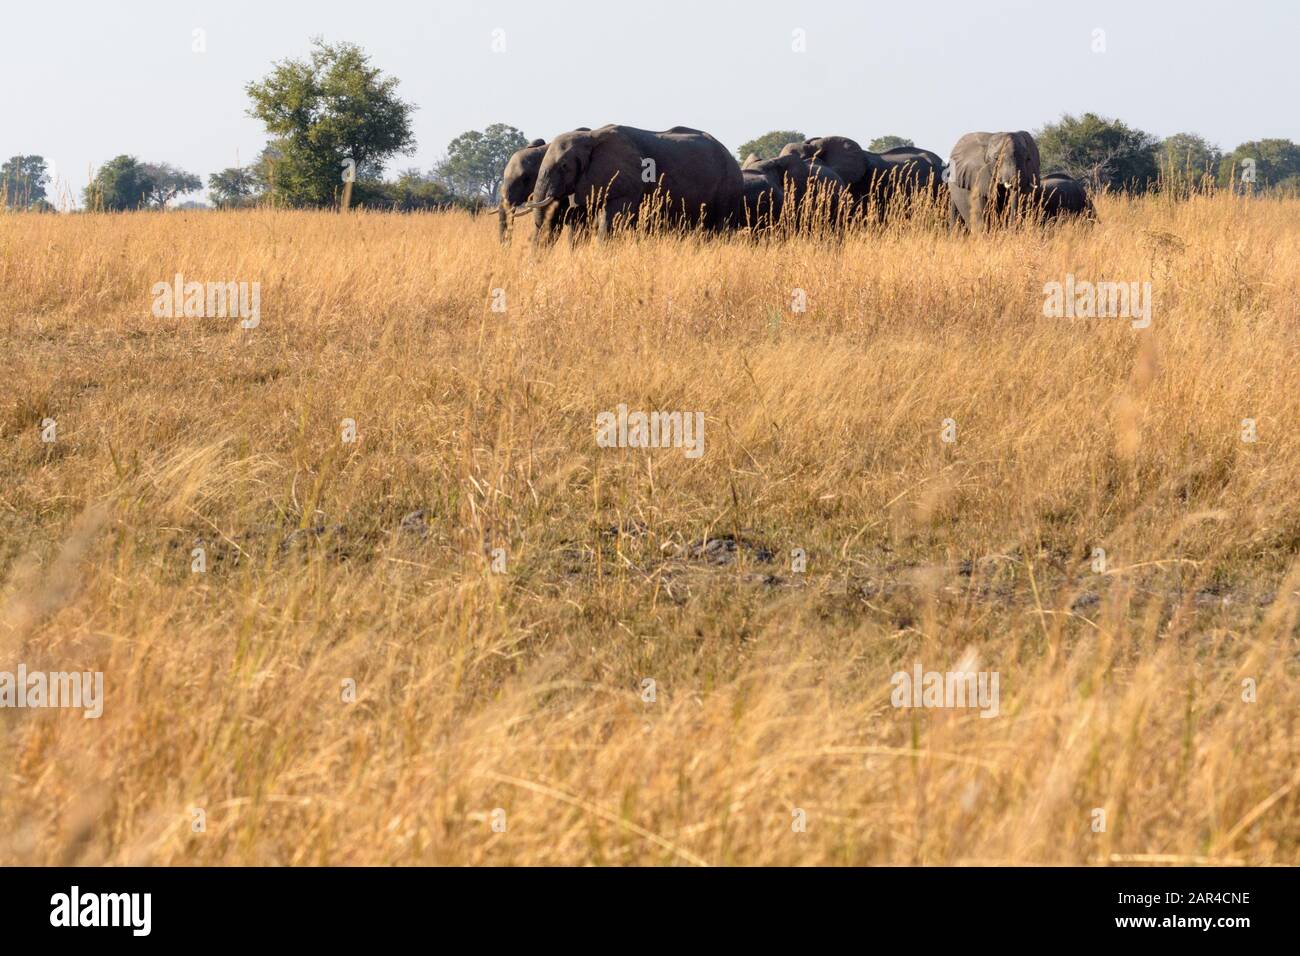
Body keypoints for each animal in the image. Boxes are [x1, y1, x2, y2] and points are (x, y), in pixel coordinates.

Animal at [517, 125, 744, 236]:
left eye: (564, 166)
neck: (591, 136)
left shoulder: (627, 181)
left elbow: (612, 221)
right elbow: (580, 220)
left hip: (728, 189)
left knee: (719, 229)